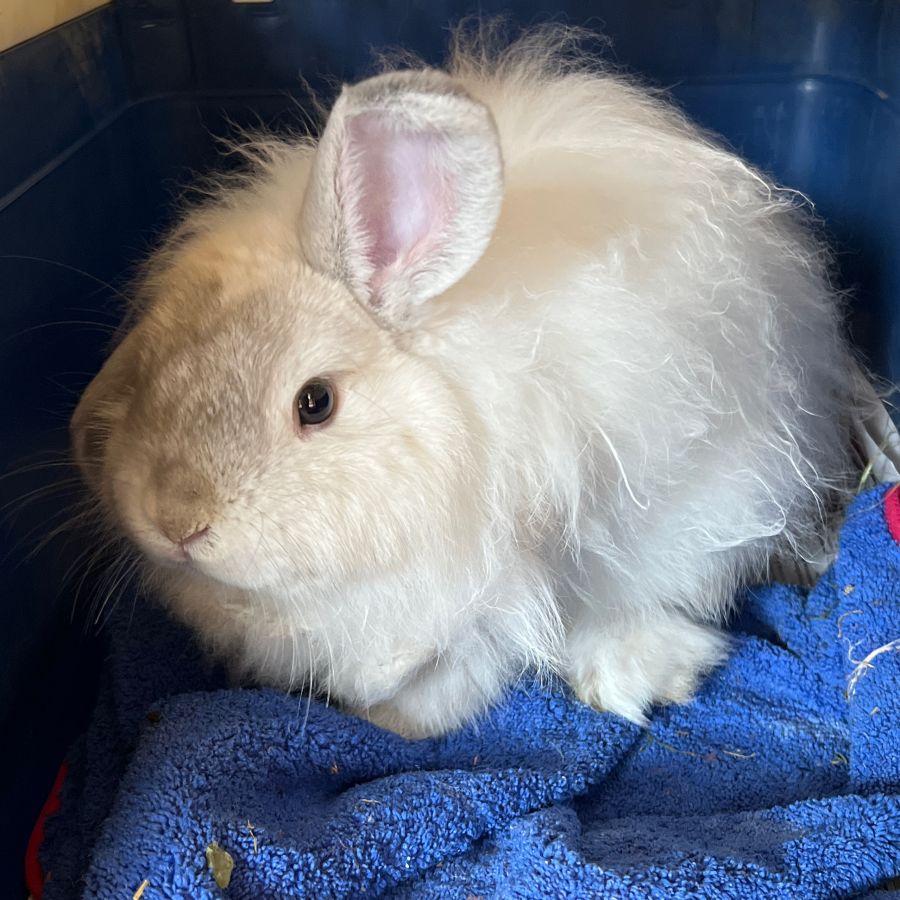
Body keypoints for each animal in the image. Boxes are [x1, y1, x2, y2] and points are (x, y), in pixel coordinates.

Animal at [71, 27, 856, 738]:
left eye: (315, 403)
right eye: (157, 363)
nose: (177, 523)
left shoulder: (481, 603)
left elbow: (450, 679)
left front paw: (390, 725)